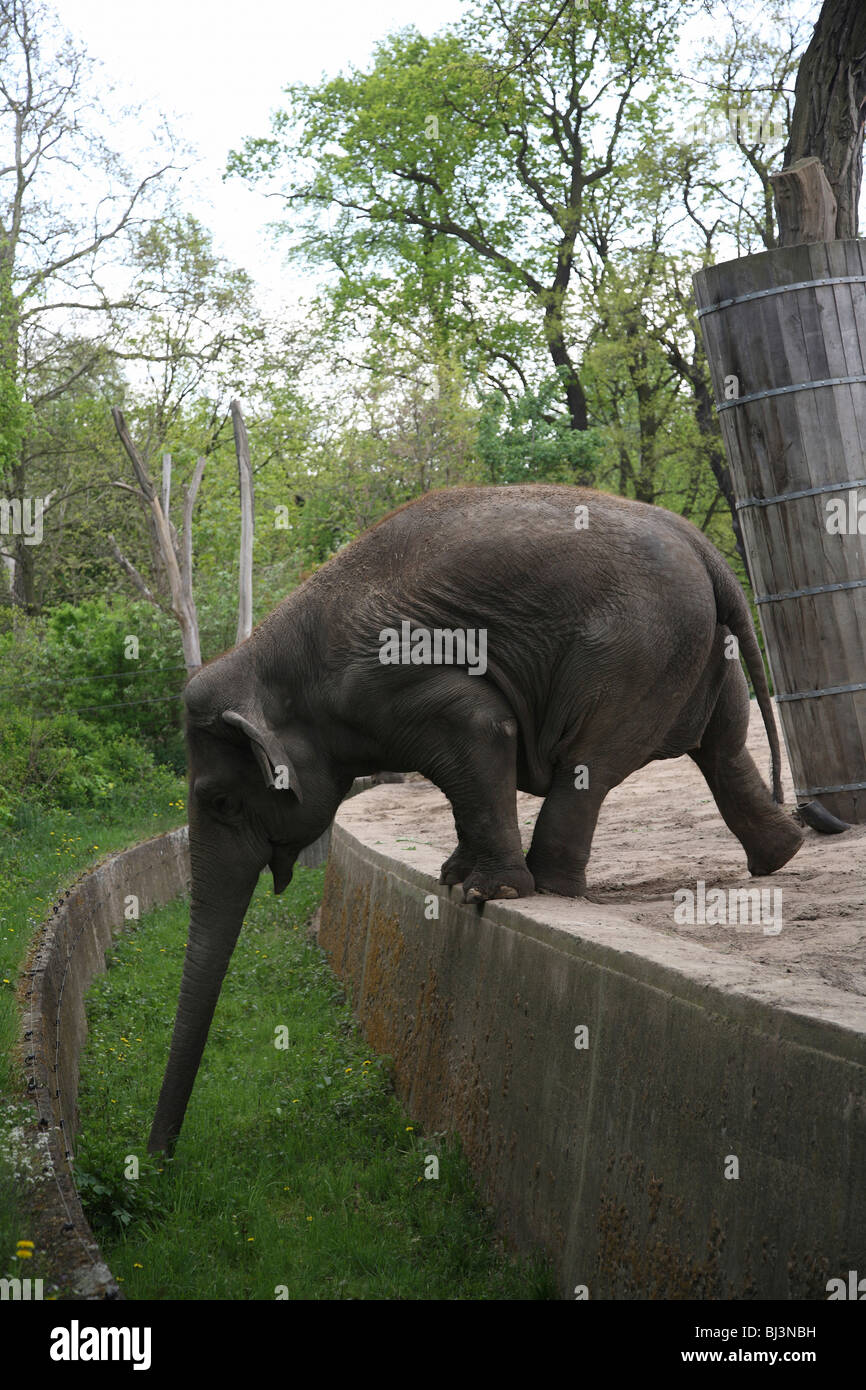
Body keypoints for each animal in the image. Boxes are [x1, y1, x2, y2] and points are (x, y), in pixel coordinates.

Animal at [147, 484, 803, 1153]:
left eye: (222, 802)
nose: (161, 1158)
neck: (267, 658)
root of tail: (704, 548)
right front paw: (451, 879)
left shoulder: (389, 677)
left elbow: (482, 727)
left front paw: (483, 894)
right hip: (697, 649)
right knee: (722, 746)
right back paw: (780, 853)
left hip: (637, 650)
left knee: (589, 765)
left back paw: (553, 888)